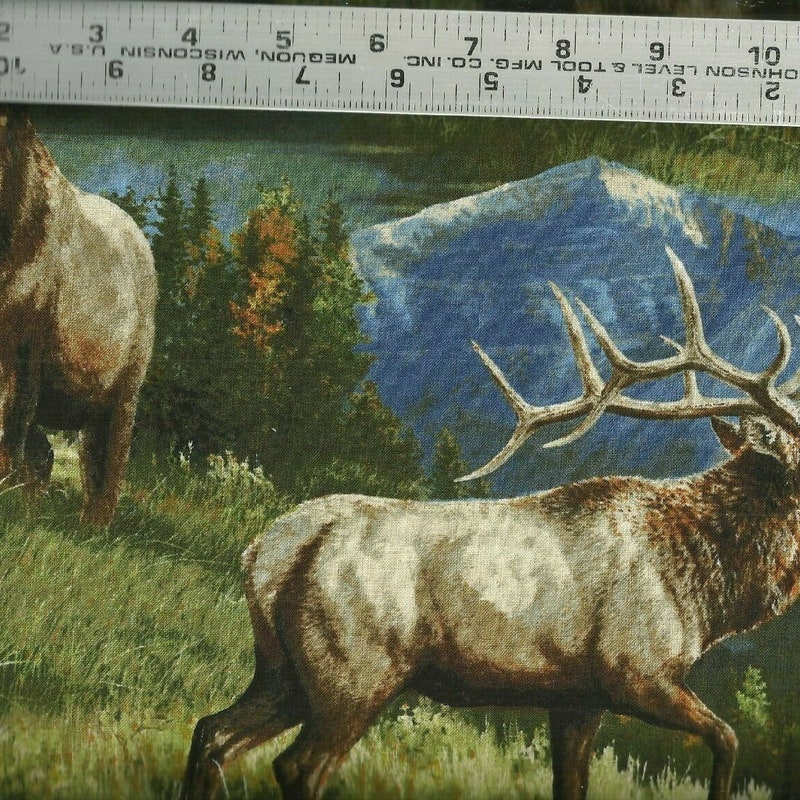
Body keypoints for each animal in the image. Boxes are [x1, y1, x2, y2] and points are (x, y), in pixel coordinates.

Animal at [181, 246, 800, 800]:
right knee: (296, 766)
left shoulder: (577, 699)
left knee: (211, 732)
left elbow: (573, 784)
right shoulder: (637, 672)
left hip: (282, 669)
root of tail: (265, 555)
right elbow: (728, 739)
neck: (708, 592)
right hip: (354, 671)